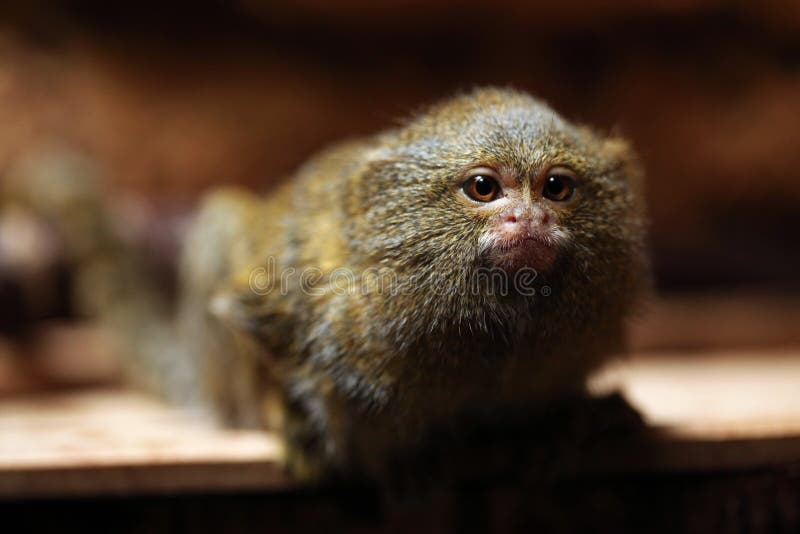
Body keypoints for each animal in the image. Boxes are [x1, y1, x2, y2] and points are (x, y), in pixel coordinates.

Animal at [1, 88, 648, 482]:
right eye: (484, 188)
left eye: (556, 188)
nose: (528, 219)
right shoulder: (310, 304)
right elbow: (248, 322)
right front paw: (295, 424)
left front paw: (572, 420)